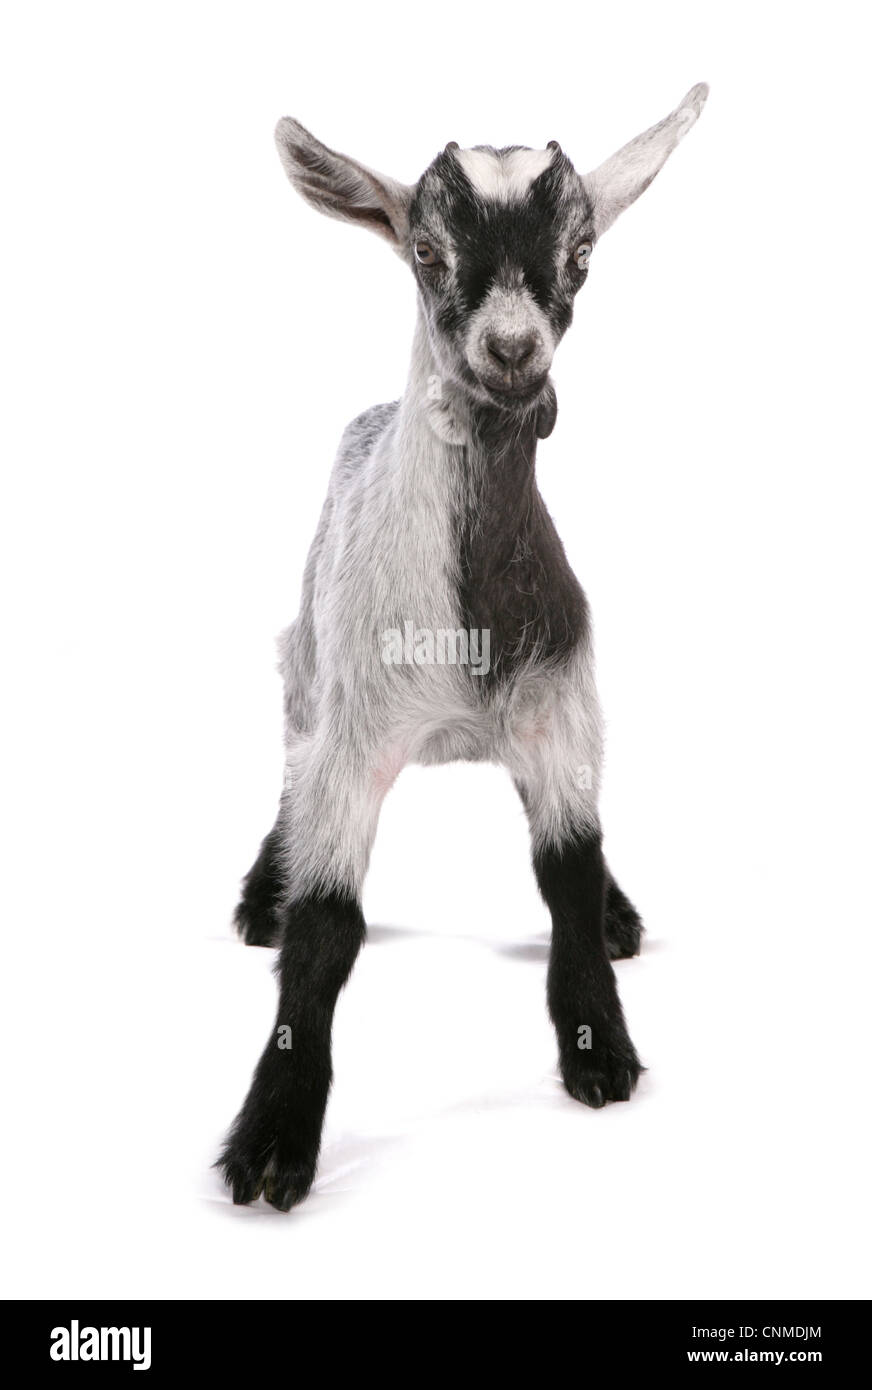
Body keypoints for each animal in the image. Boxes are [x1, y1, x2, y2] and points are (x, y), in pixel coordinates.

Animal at [218, 84, 708, 1210]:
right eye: (426, 252)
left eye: (581, 251)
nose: (514, 351)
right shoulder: (355, 736)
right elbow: (328, 929)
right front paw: (272, 1138)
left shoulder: (560, 708)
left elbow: (568, 868)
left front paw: (599, 1040)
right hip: (308, 659)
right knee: (288, 754)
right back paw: (262, 887)